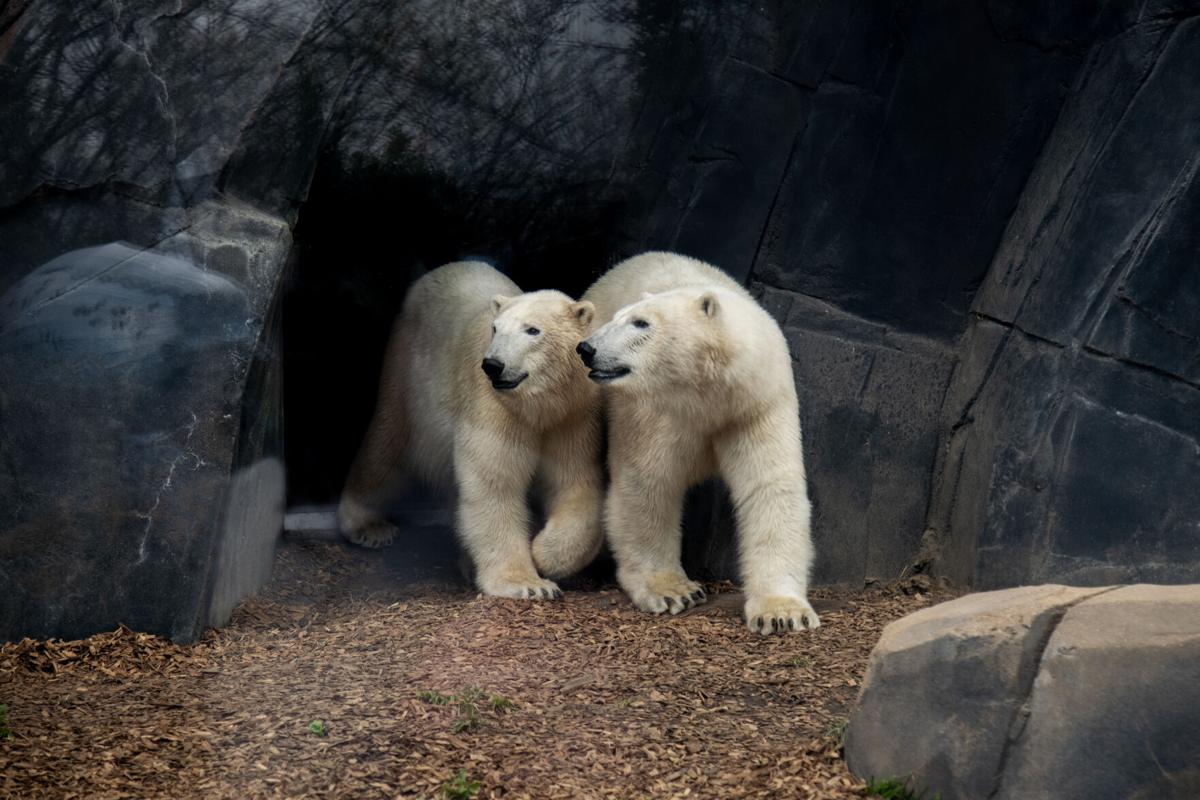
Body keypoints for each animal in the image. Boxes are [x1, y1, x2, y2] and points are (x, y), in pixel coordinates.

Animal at [338, 261, 604, 599]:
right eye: (496, 329)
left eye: (532, 330)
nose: (494, 364)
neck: (538, 406)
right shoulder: (492, 407)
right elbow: (494, 485)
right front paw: (527, 584)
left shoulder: (573, 415)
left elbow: (575, 480)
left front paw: (545, 554)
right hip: (406, 372)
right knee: (387, 445)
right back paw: (368, 525)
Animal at [576, 252, 820, 634]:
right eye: (617, 317)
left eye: (641, 323)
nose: (587, 348)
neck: (710, 396)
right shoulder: (654, 410)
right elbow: (647, 483)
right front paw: (673, 590)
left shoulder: (756, 405)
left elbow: (770, 489)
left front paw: (782, 612)